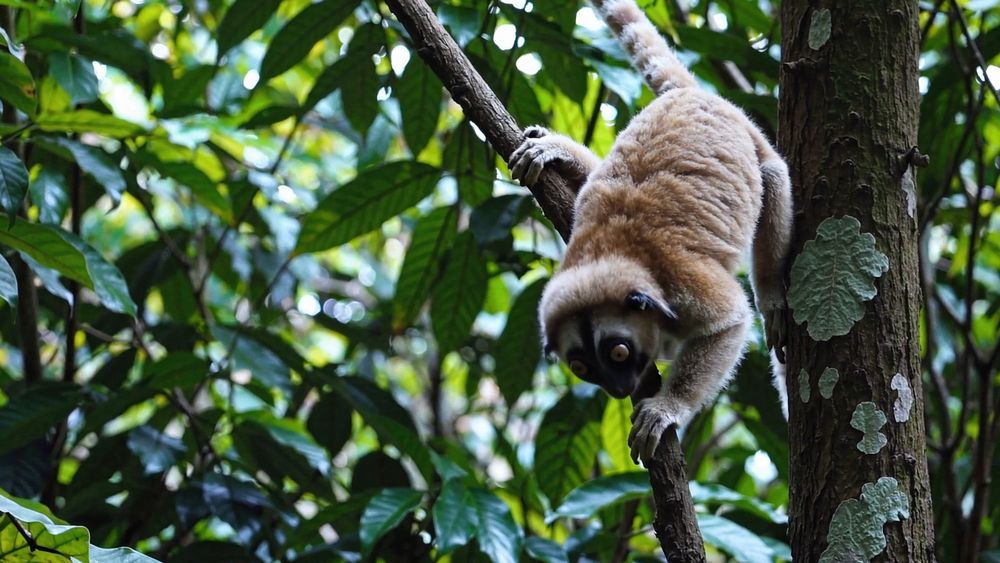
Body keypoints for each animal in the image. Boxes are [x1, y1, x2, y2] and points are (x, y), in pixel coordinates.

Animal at [509, 0, 793, 463]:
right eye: (582, 368)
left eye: (619, 352)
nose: (618, 388)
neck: (609, 251)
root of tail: (694, 95)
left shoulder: (683, 285)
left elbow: (731, 320)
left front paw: (667, 408)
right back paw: (559, 152)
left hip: (754, 138)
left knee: (772, 177)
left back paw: (772, 298)